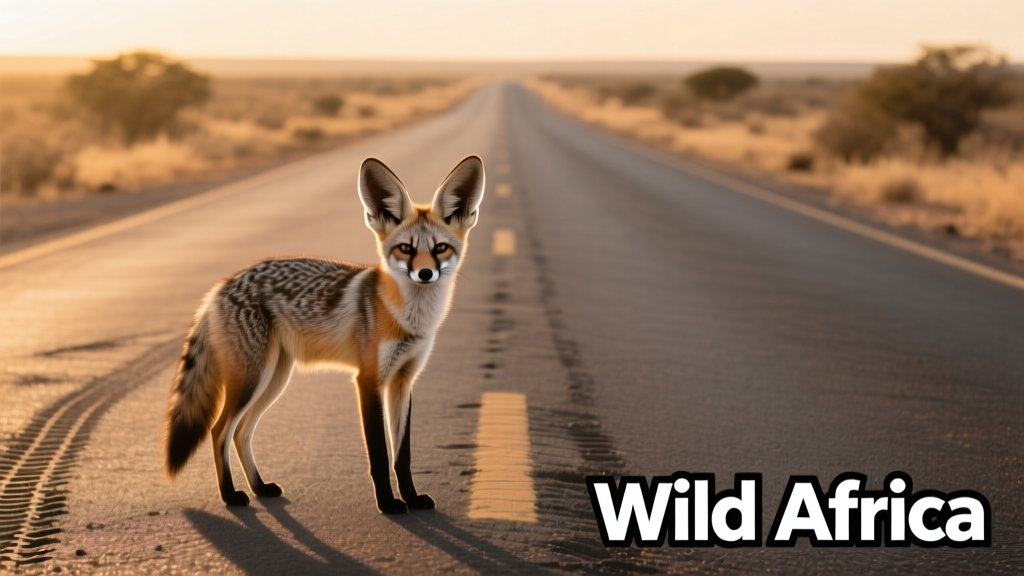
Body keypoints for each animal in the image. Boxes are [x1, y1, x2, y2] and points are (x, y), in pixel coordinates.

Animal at [162, 155, 485, 512]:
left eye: (440, 248)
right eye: (405, 248)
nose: (425, 273)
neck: (407, 319)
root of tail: (221, 286)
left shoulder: (403, 380)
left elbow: (403, 456)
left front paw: (411, 499)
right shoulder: (368, 380)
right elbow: (379, 456)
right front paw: (388, 504)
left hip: (274, 379)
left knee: (240, 432)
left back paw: (260, 487)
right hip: (251, 380)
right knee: (219, 430)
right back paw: (231, 496)